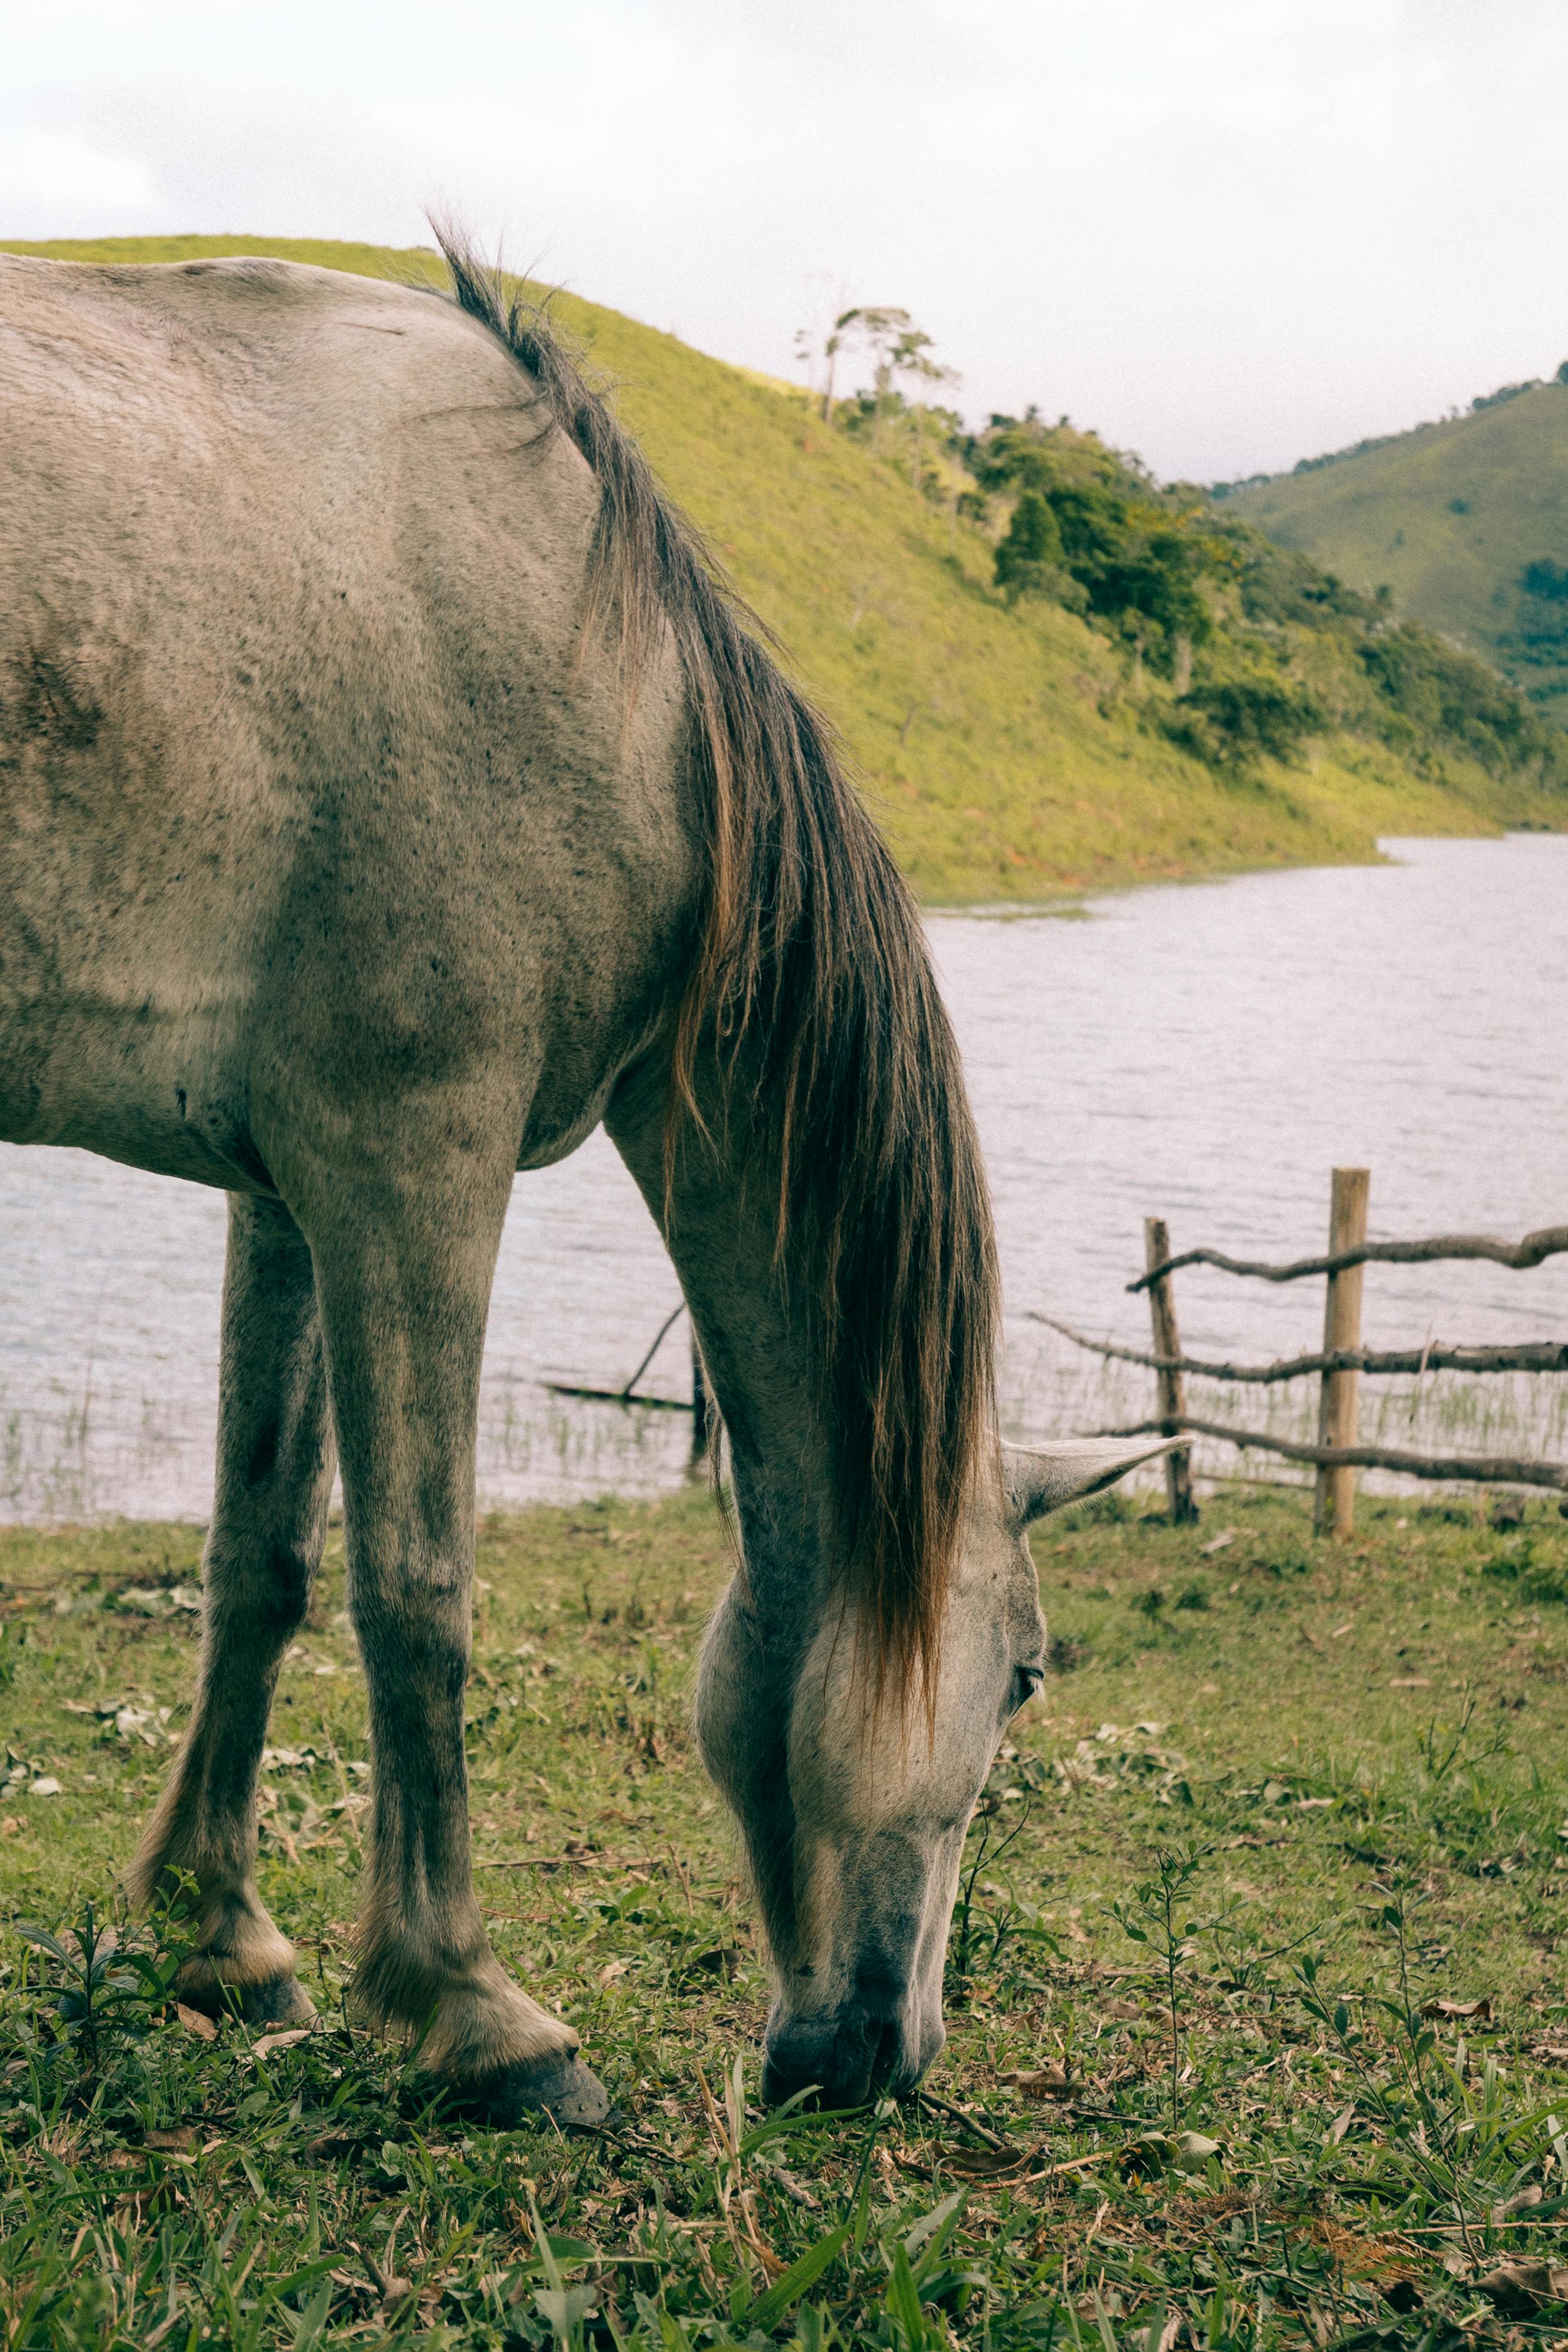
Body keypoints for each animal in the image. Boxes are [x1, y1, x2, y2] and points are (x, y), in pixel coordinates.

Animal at [0, 236, 1174, 2125]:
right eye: (1021, 1677)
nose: (886, 2057)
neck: (614, 692)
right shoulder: (412, 1156)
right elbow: (418, 1585)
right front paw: (473, 2008)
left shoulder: (286, 1182)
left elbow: (265, 1551)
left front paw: (220, 1939)